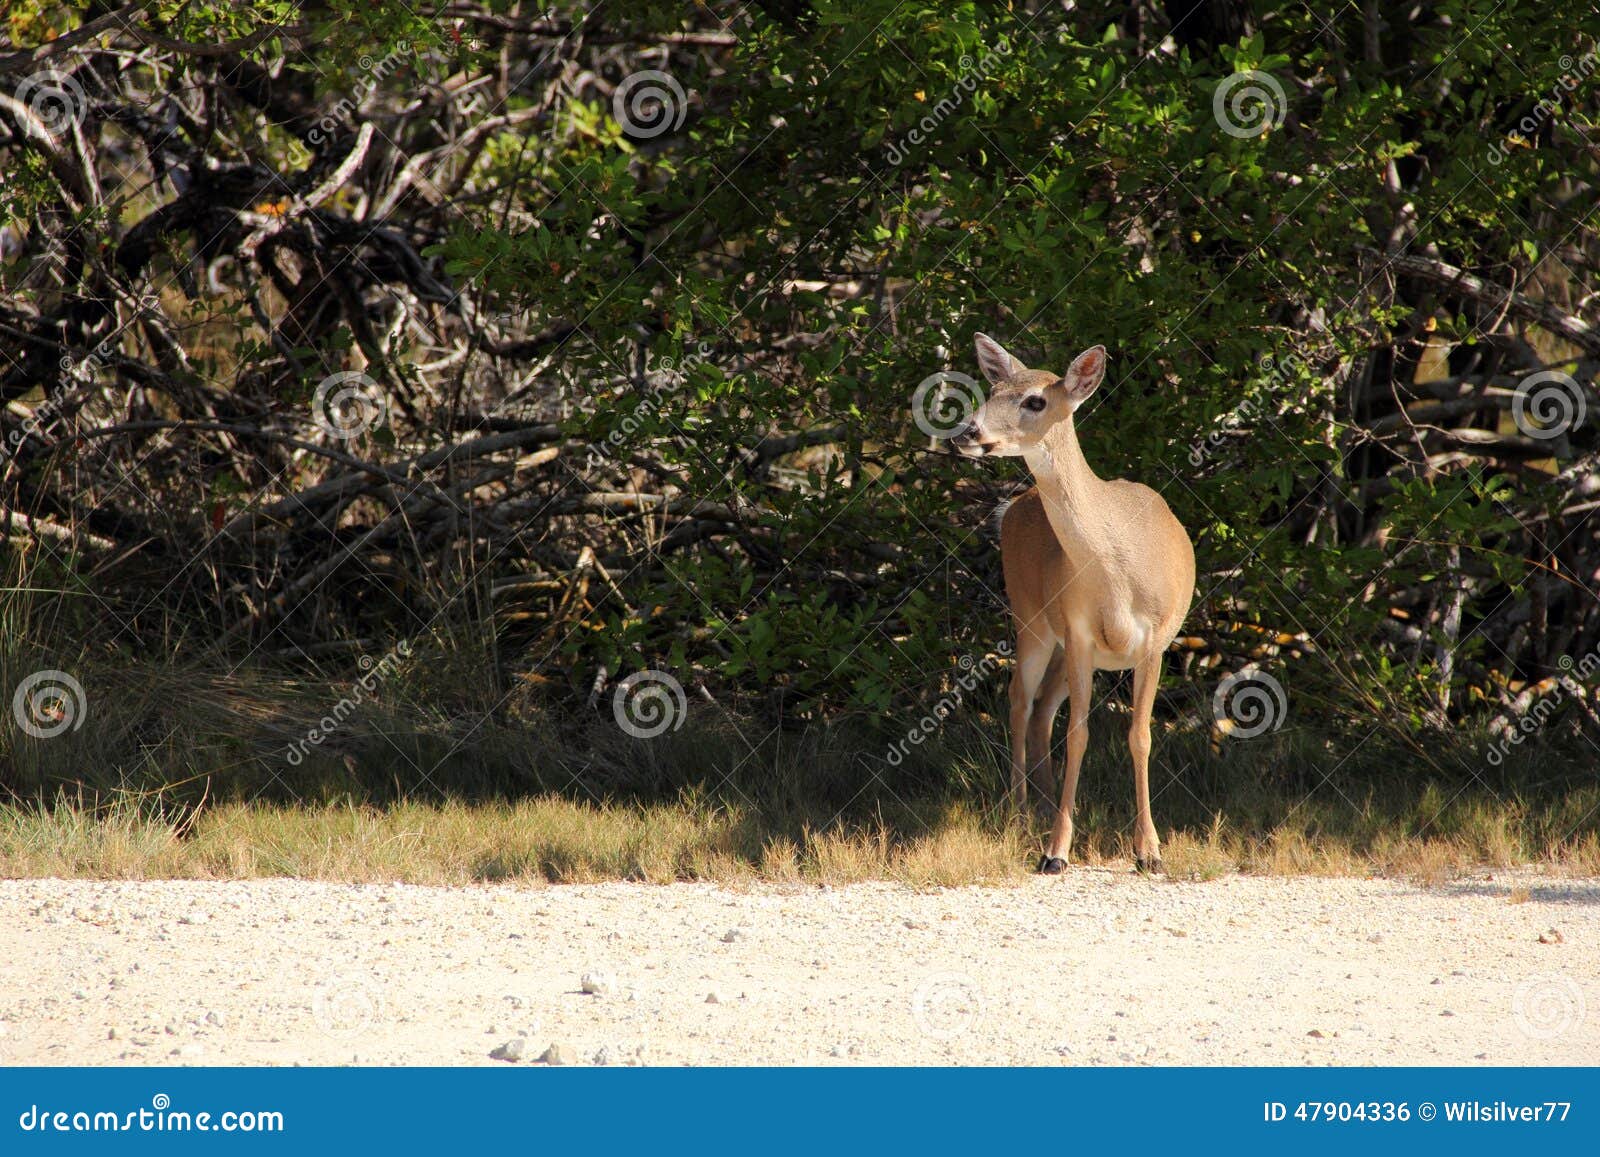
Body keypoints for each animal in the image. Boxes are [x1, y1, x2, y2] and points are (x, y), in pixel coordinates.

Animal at [949, 335, 1194, 875]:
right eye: (992, 390)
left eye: (1035, 401)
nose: (968, 431)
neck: (1118, 573)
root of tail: (1013, 505)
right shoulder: (1079, 631)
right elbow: (1079, 736)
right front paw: (1056, 852)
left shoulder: (1154, 639)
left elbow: (1140, 735)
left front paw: (1150, 852)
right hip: (1030, 618)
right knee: (1020, 700)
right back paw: (1021, 809)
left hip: (1060, 643)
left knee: (1042, 708)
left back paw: (1041, 804)